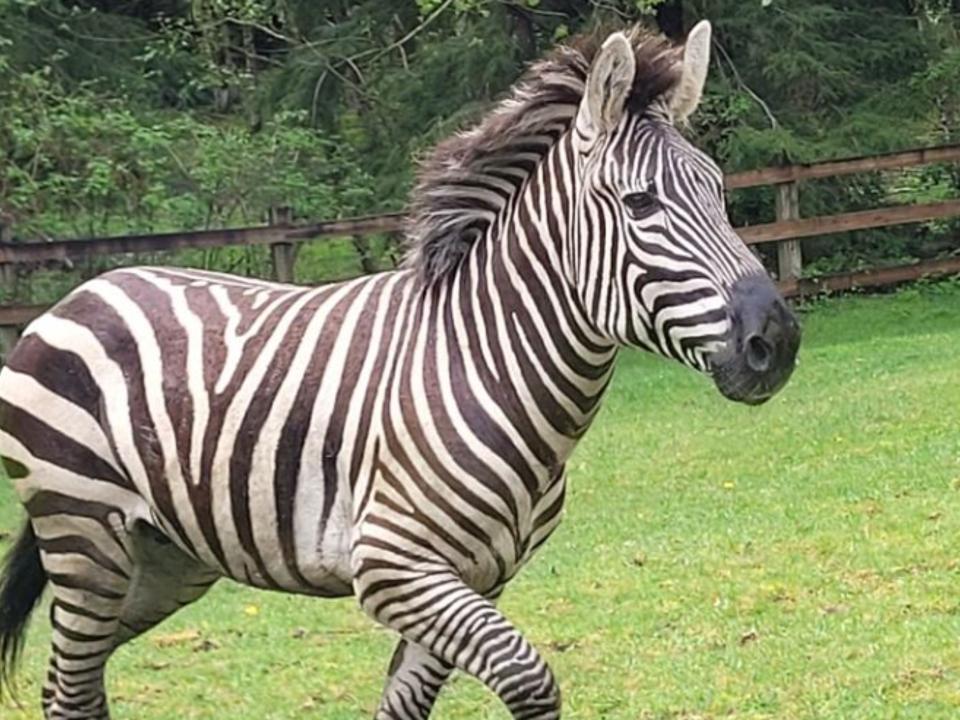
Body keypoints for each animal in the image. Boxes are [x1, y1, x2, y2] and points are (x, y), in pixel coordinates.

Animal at [0, 20, 799, 720]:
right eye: (640, 203)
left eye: (718, 190)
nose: (779, 340)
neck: (490, 368)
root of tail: (81, 292)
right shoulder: (392, 567)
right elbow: (531, 679)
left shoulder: (477, 577)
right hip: (85, 536)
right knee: (71, 687)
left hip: (164, 558)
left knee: (72, 681)